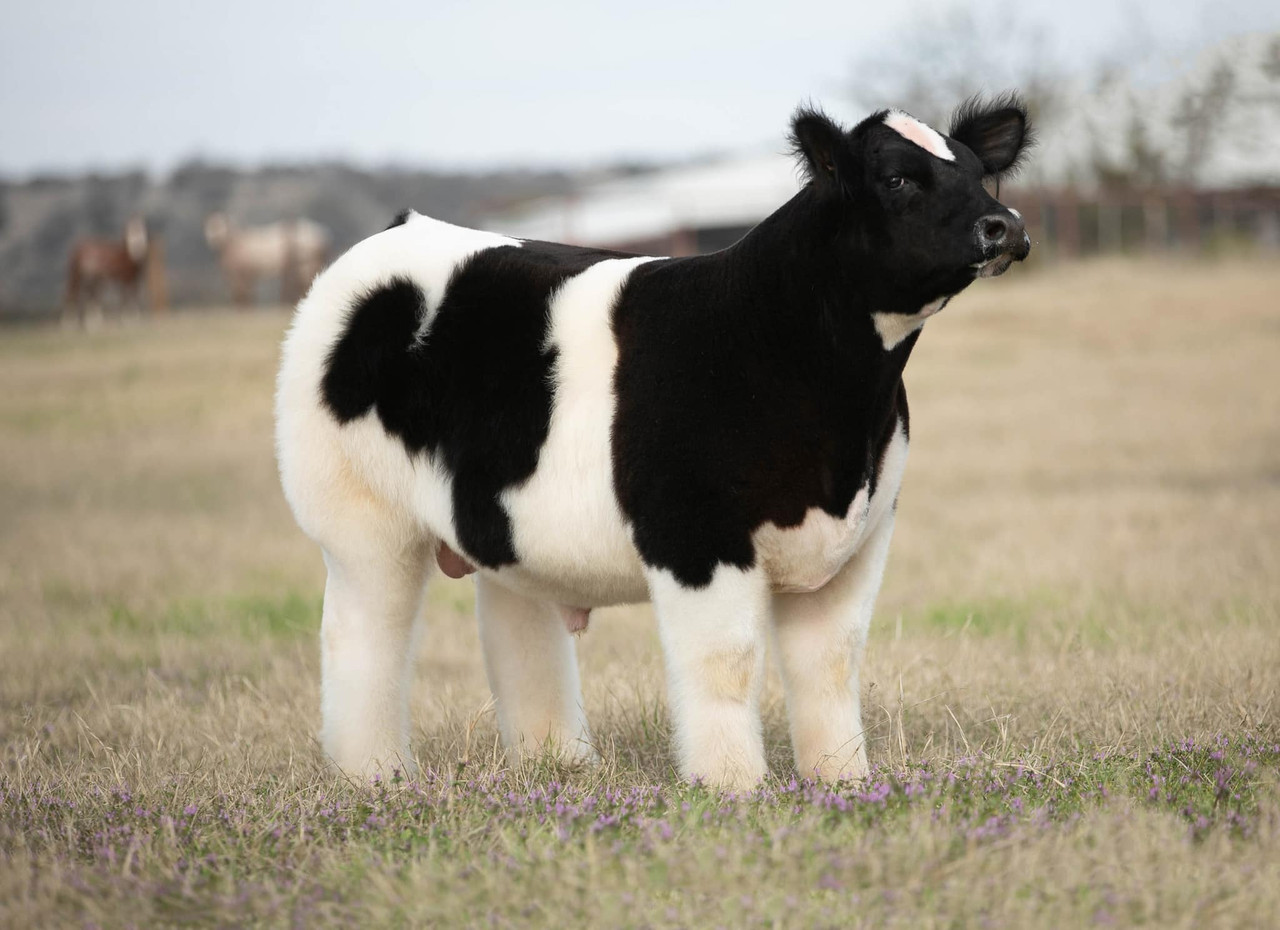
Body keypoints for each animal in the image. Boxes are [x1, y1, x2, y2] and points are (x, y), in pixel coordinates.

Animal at [275, 95, 1034, 789]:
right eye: (898, 178)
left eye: (977, 172)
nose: (1005, 226)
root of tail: (400, 232)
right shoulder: (695, 536)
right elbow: (726, 663)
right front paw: (733, 787)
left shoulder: (862, 536)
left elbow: (831, 663)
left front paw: (842, 781)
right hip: (361, 521)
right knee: (363, 638)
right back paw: (375, 774)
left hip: (503, 523)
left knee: (519, 629)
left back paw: (559, 763)